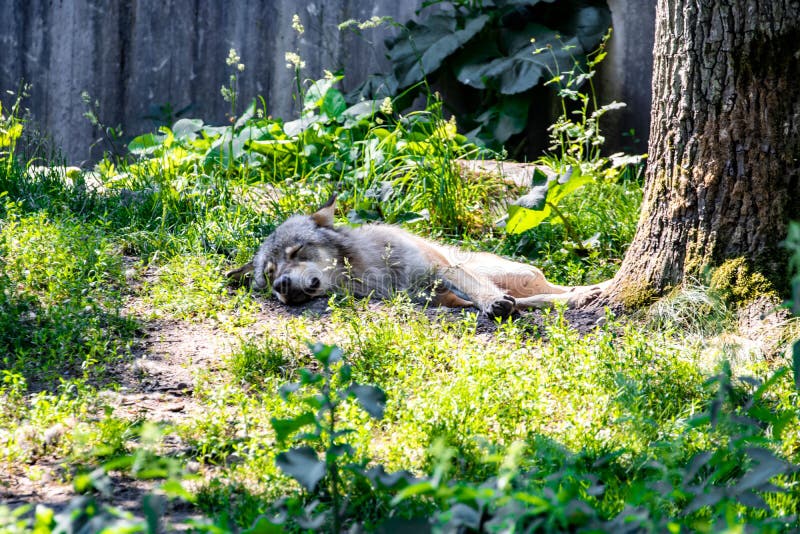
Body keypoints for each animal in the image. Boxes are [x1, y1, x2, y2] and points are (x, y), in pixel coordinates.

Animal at [226, 196, 609, 318]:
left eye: (296, 251)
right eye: (269, 273)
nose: (281, 284)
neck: (372, 270)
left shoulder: (442, 268)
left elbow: (482, 292)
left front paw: (493, 303)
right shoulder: (436, 299)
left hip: (516, 273)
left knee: (551, 288)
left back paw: (588, 291)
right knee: (542, 298)